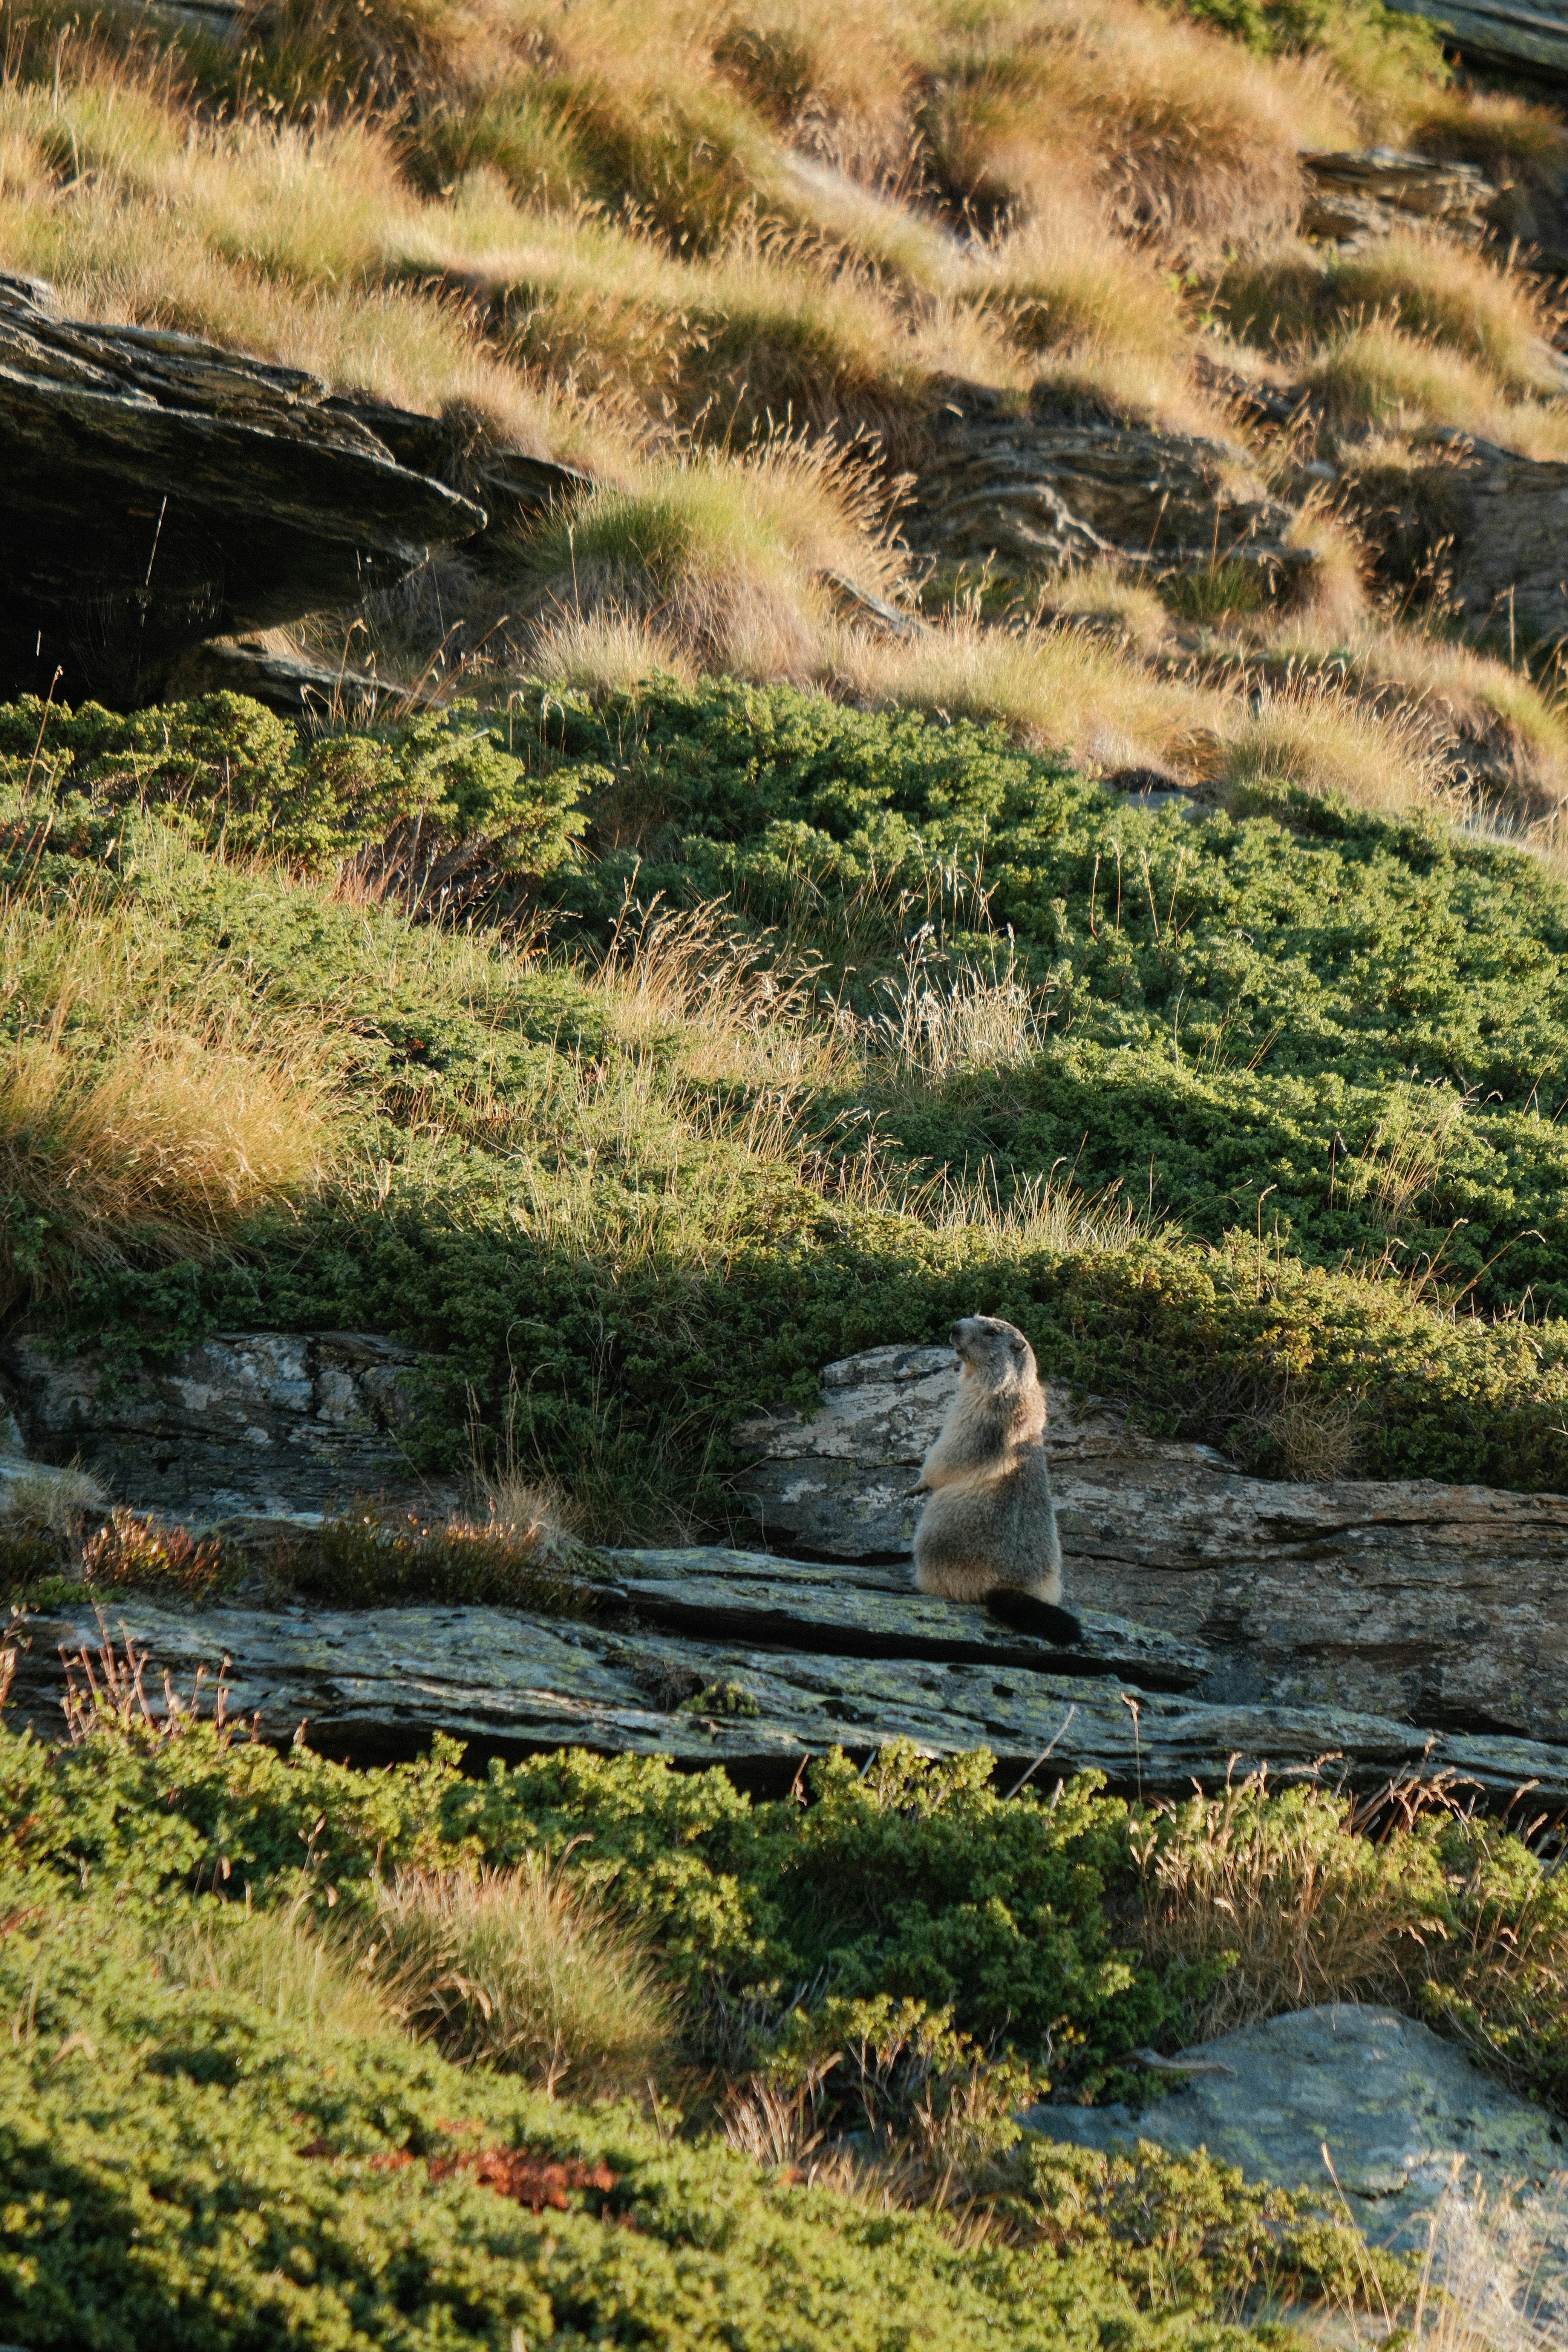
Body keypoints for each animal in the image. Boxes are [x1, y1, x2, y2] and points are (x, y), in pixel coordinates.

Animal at [913, 1314, 1083, 1646]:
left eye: (991, 1332)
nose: (954, 1327)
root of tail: (1007, 1587)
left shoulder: (973, 1409)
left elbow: (947, 1452)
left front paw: (920, 1481)